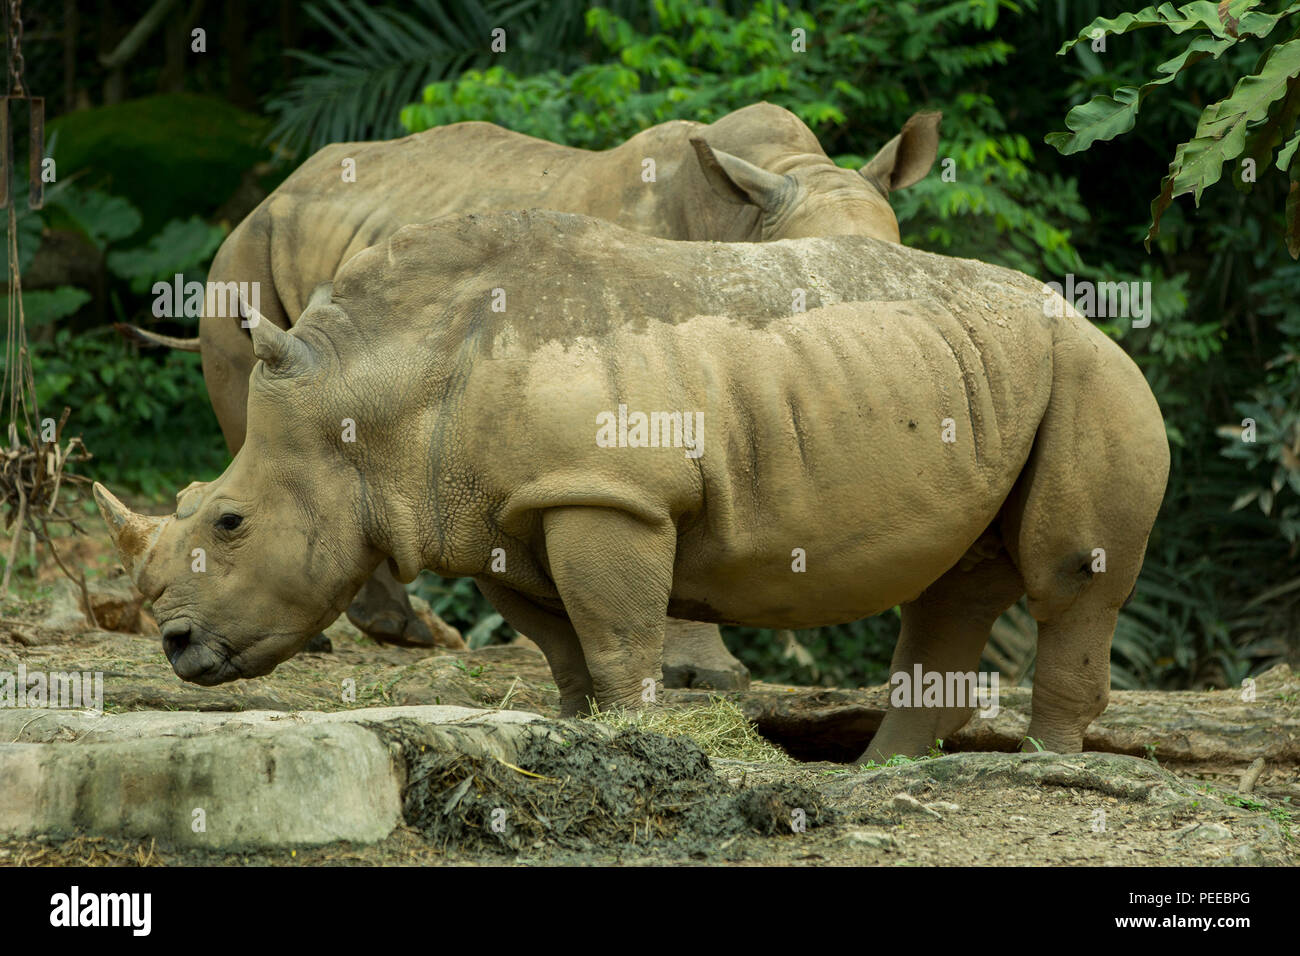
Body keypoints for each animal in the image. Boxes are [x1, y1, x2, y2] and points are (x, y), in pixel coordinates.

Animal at [95, 210, 1169, 760]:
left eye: (230, 521)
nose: (176, 647)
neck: (374, 389)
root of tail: (1094, 319)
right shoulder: (503, 506)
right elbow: (559, 638)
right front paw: (575, 730)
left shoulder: (603, 487)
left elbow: (613, 628)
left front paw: (633, 733)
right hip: (973, 370)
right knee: (958, 584)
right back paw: (880, 772)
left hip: (1090, 373)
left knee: (1068, 572)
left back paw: (1044, 766)